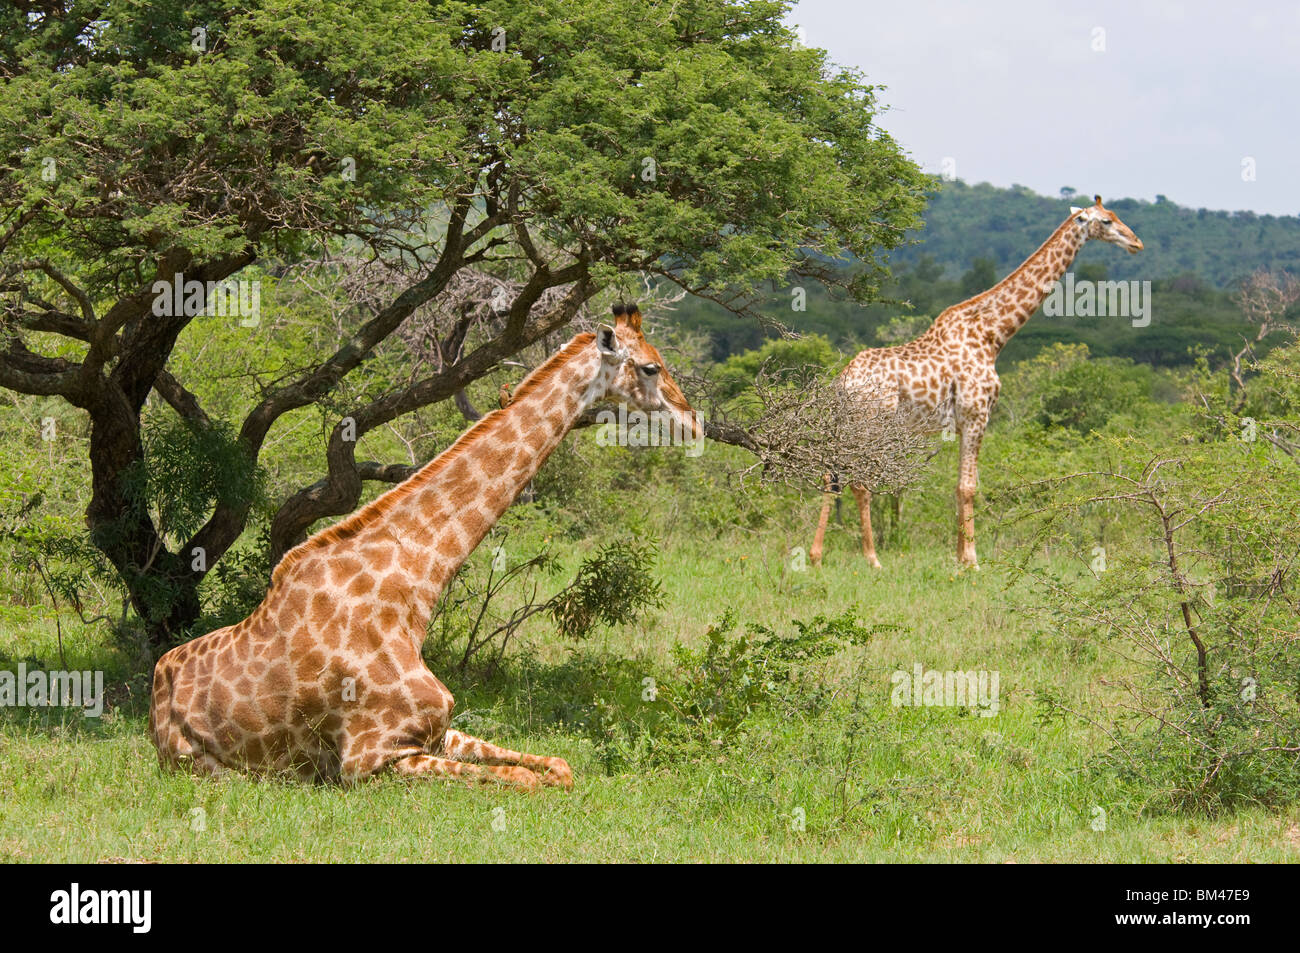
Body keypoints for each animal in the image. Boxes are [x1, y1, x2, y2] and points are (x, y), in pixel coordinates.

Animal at [149, 303, 699, 789]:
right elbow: (525, 779)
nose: (693, 422)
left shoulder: (438, 732)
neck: (409, 593)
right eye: (651, 366)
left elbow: (558, 767)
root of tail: (158, 681)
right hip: (206, 767)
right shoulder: (371, 759)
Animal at [810, 196, 1143, 570]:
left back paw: (816, 556)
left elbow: (959, 486)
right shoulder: (977, 415)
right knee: (859, 481)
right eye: (1107, 221)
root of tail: (842, 381)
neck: (992, 334)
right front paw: (972, 561)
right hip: (871, 425)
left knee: (830, 477)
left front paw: (959, 558)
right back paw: (872, 559)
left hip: (845, 426)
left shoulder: (962, 422)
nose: (1136, 242)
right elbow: (968, 487)